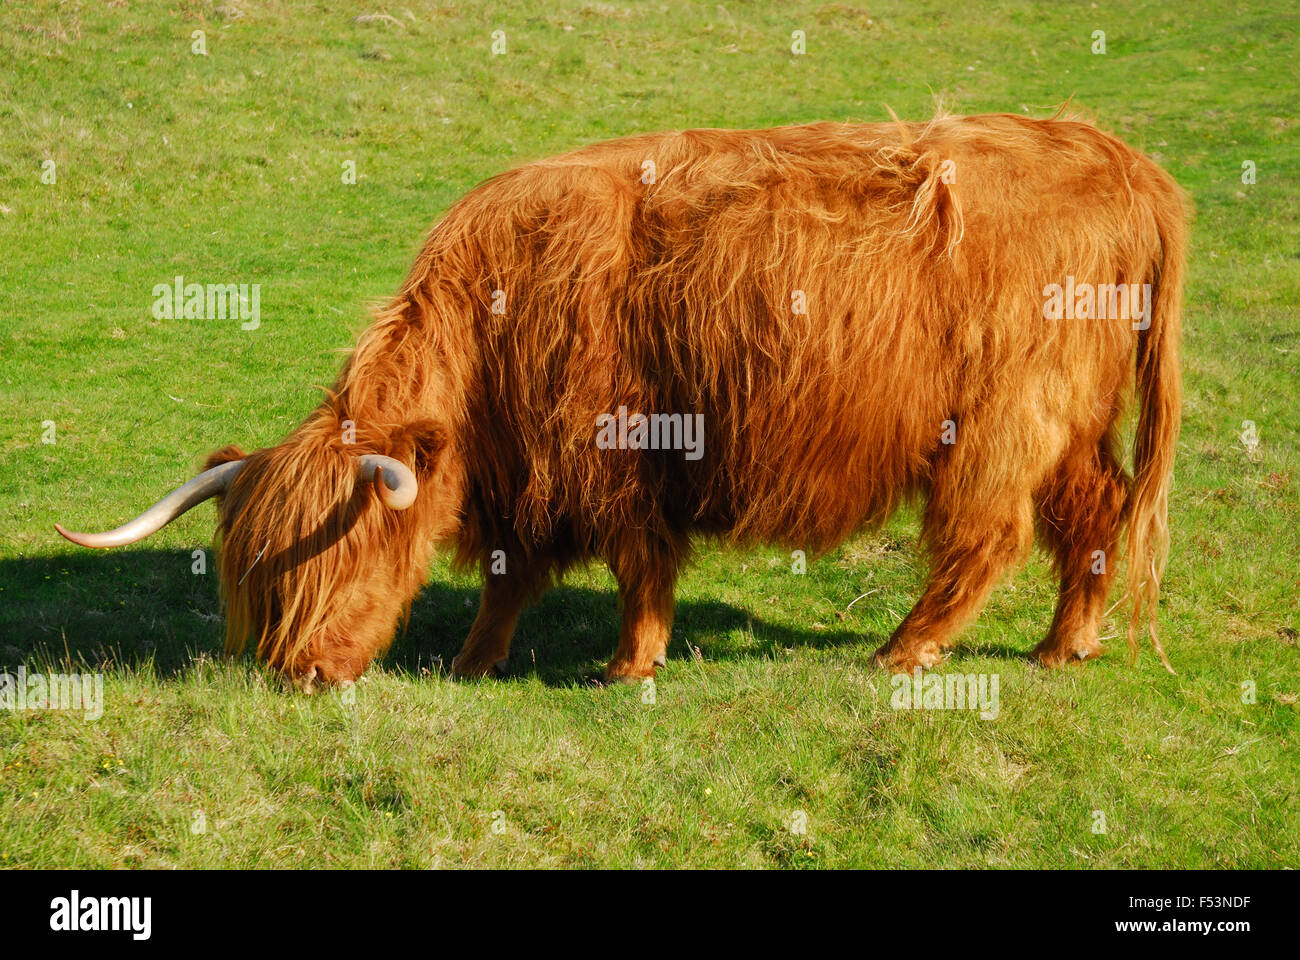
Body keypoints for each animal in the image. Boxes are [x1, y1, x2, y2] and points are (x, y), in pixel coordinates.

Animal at [56, 111, 1186, 690]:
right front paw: (471, 661)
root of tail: (1120, 158)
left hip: (1003, 420)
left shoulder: (616, 455)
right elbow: (509, 576)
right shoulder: (525, 479)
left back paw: (906, 648)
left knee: (990, 534)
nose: (300, 674)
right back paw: (1064, 645)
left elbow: (639, 568)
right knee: (1092, 515)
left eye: (351, 553)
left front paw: (624, 668)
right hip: (1071, 424)